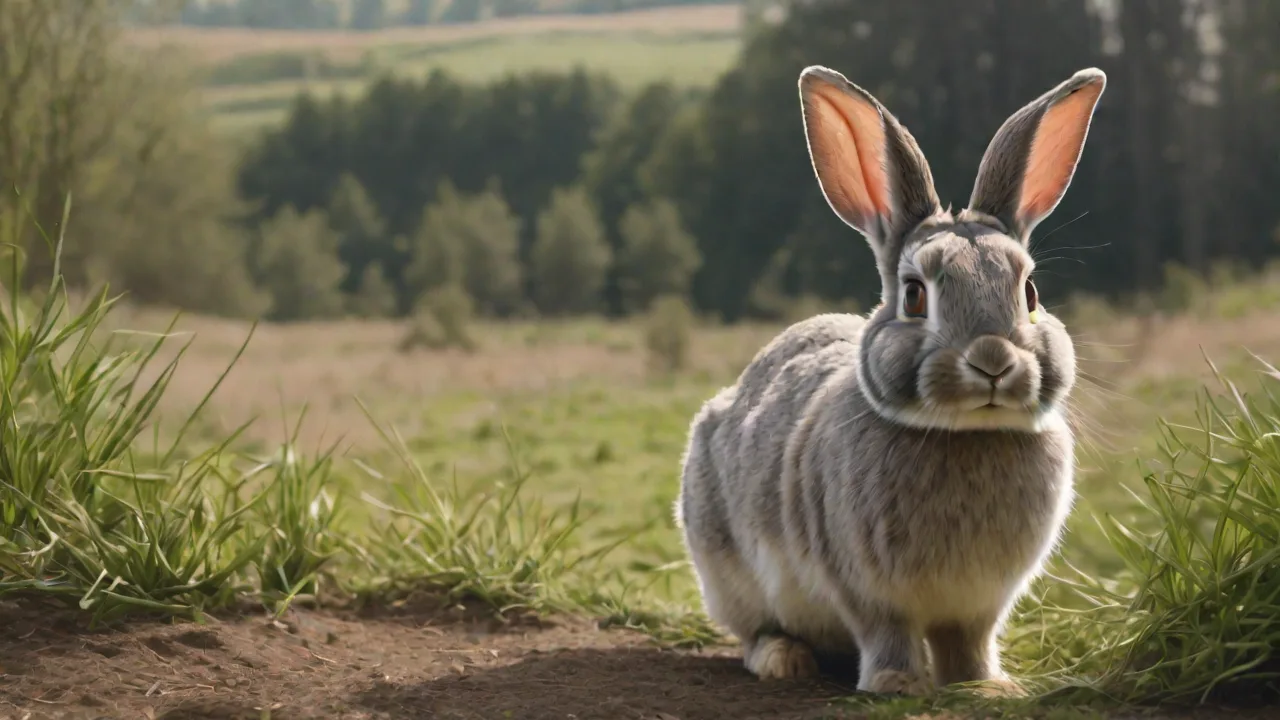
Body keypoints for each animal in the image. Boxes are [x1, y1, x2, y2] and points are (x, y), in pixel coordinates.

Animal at [675, 64, 1106, 696]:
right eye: (914, 296)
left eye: (1029, 293)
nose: (993, 360)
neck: (964, 435)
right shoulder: (865, 586)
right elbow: (886, 631)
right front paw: (897, 683)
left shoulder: (981, 604)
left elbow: (971, 641)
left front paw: (988, 686)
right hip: (723, 566)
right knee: (753, 631)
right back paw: (784, 659)